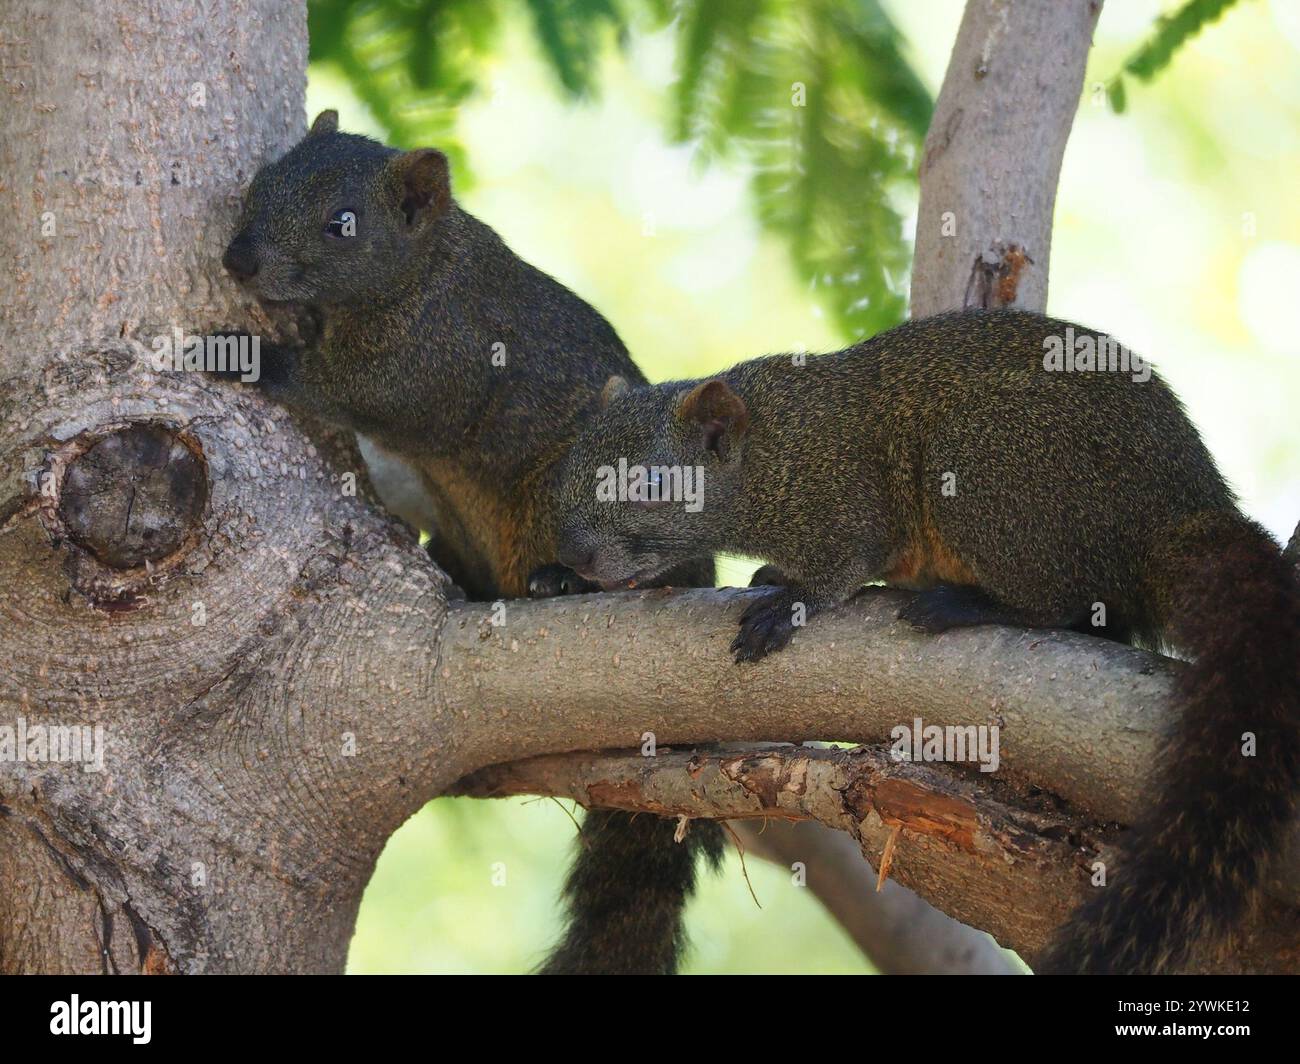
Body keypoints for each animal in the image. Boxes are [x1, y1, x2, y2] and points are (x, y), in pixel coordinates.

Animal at [213, 110, 721, 973]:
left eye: (342, 223)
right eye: (259, 182)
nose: (237, 258)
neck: (422, 273)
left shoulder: (433, 359)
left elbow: (349, 390)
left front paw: (252, 356)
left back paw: (566, 582)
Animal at [547, 307, 1300, 974]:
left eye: (650, 482)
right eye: (568, 469)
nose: (574, 554)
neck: (774, 451)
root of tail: (1177, 513)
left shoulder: (846, 501)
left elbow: (847, 563)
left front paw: (789, 604)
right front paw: (775, 575)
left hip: (989, 466)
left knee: (1063, 606)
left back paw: (966, 604)